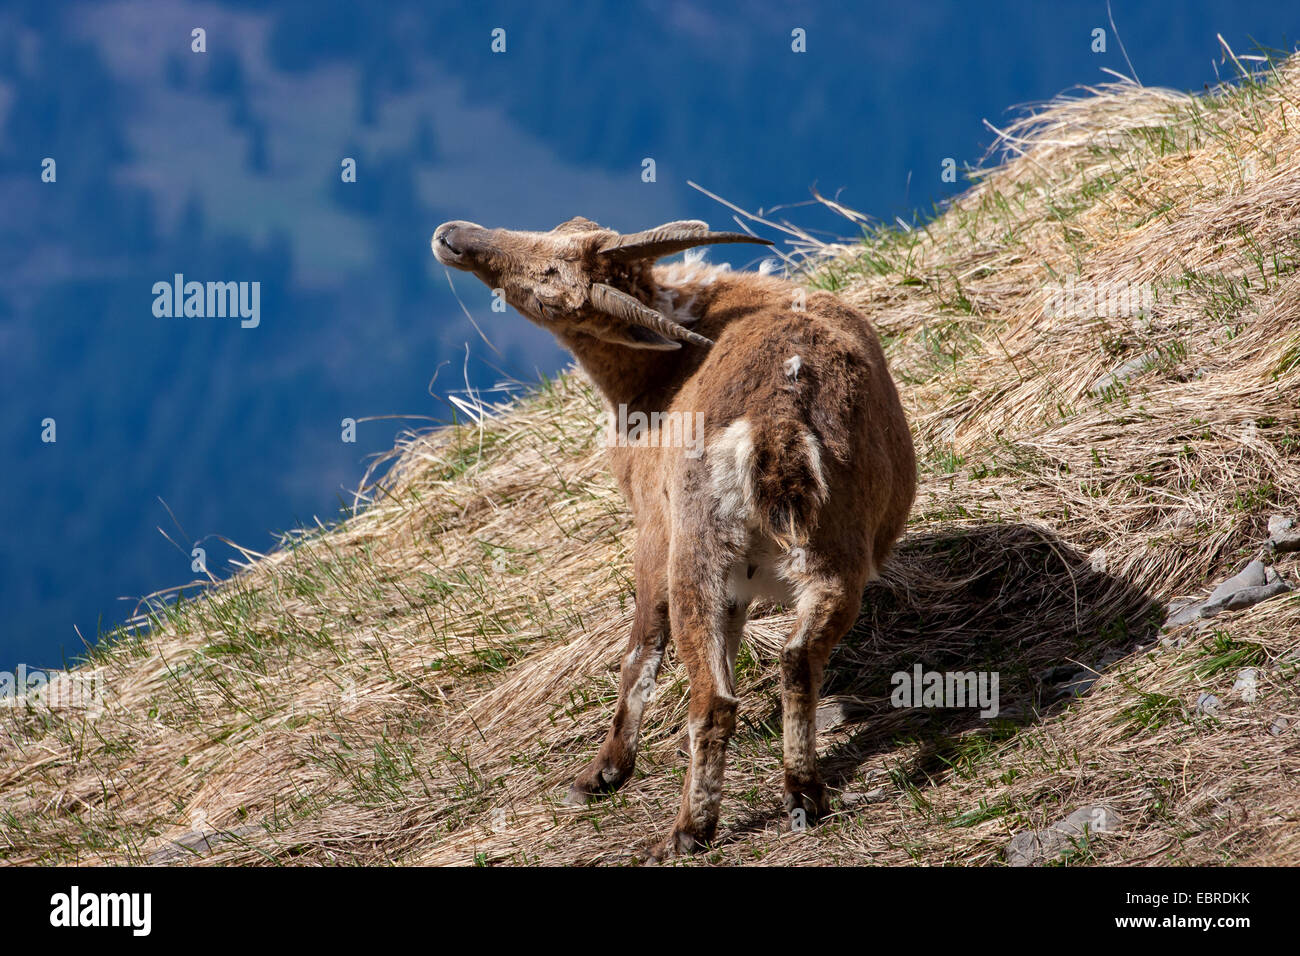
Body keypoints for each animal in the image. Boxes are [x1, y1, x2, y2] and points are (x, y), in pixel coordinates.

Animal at [431, 216, 916, 858]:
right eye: (556, 230)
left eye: (550, 288)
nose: (452, 237)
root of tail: (778, 425)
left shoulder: (653, 527)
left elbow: (641, 645)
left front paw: (601, 775)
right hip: (835, 546)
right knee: (796, 659)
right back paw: (803, 795)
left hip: (698, 547)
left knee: (711, 700)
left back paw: (687, 831)